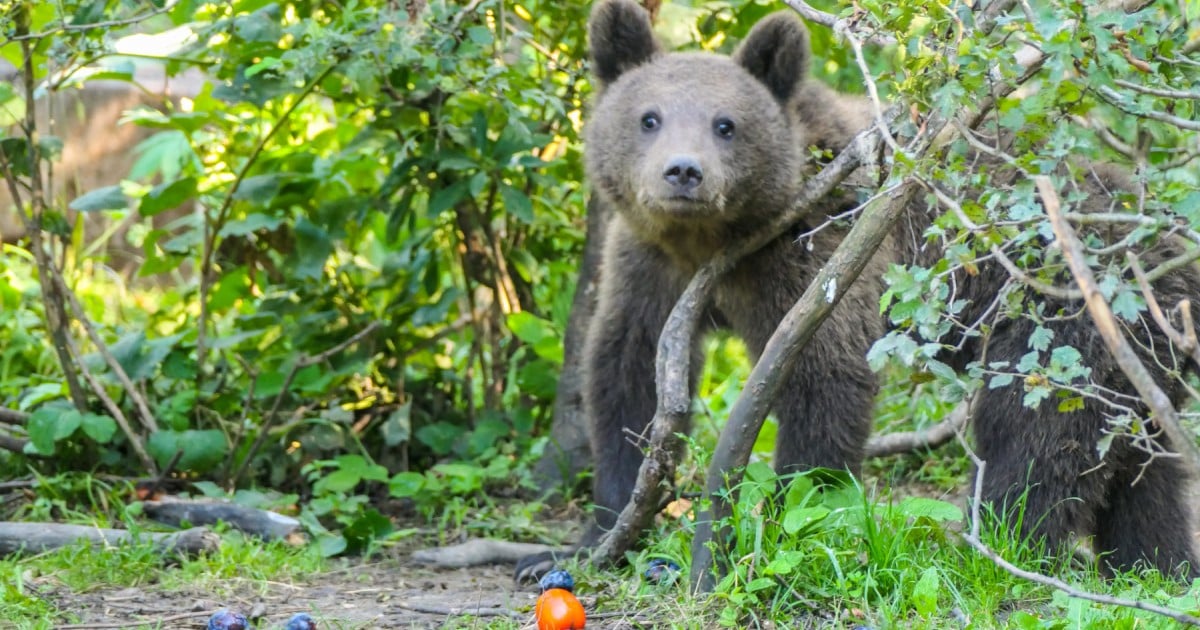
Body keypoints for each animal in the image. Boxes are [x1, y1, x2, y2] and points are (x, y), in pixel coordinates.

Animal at [516, 0, 886, 580]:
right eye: (649, 117)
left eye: (725, 124)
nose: (684, 171)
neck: (709, 242)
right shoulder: (651, 272)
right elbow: (629, 379)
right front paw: (585, 540)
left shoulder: (811, 251)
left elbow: (823, 370)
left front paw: (789, 514)